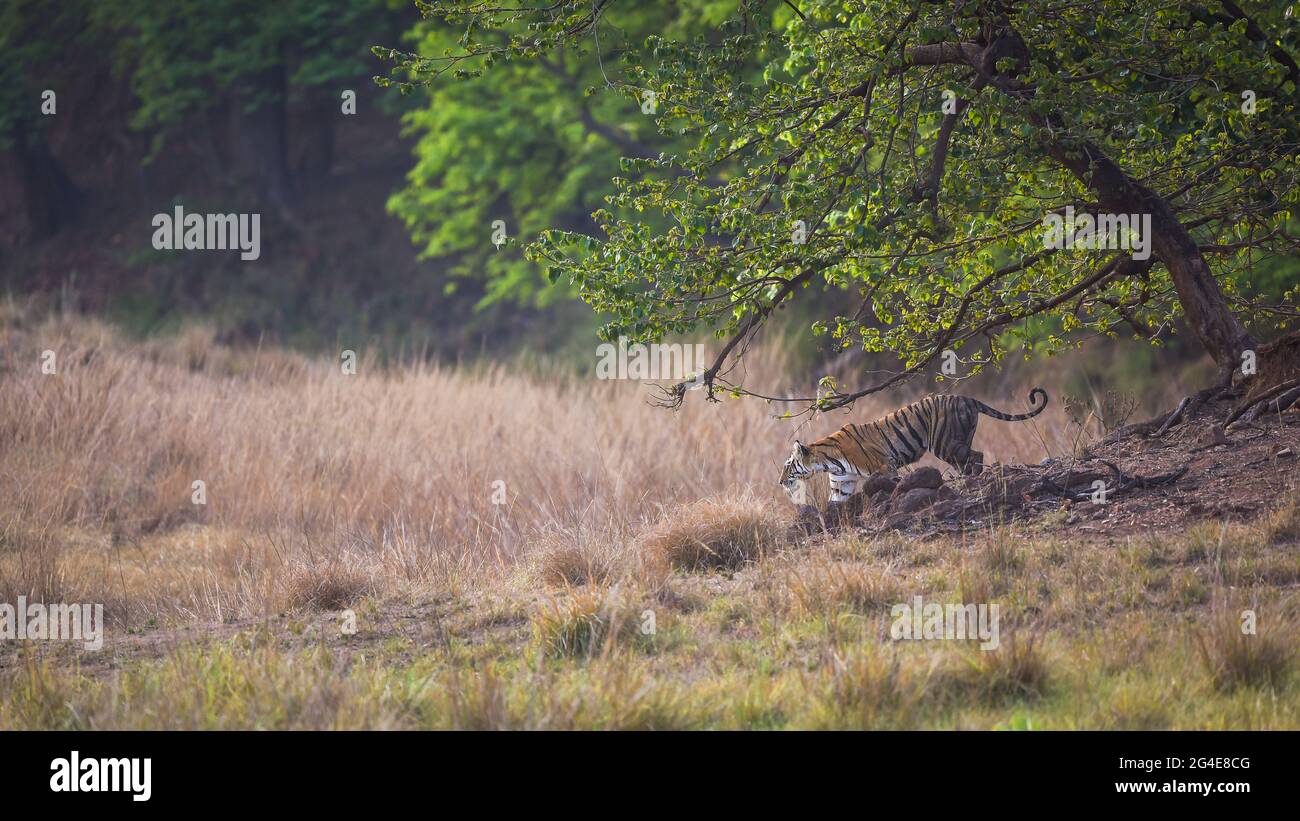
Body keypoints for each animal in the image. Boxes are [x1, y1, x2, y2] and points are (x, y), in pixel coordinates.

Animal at [779, 388, 1048, 503]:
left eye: (788, 465)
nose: (780, 482)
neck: (828, 462)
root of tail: (968, 398)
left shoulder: (884, 466)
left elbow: (889, 484)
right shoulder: (841, 484)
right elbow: (834, 503)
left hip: (944, 443)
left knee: (977, 456)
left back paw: (969, 482)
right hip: (958, 440)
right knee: (972, 457)